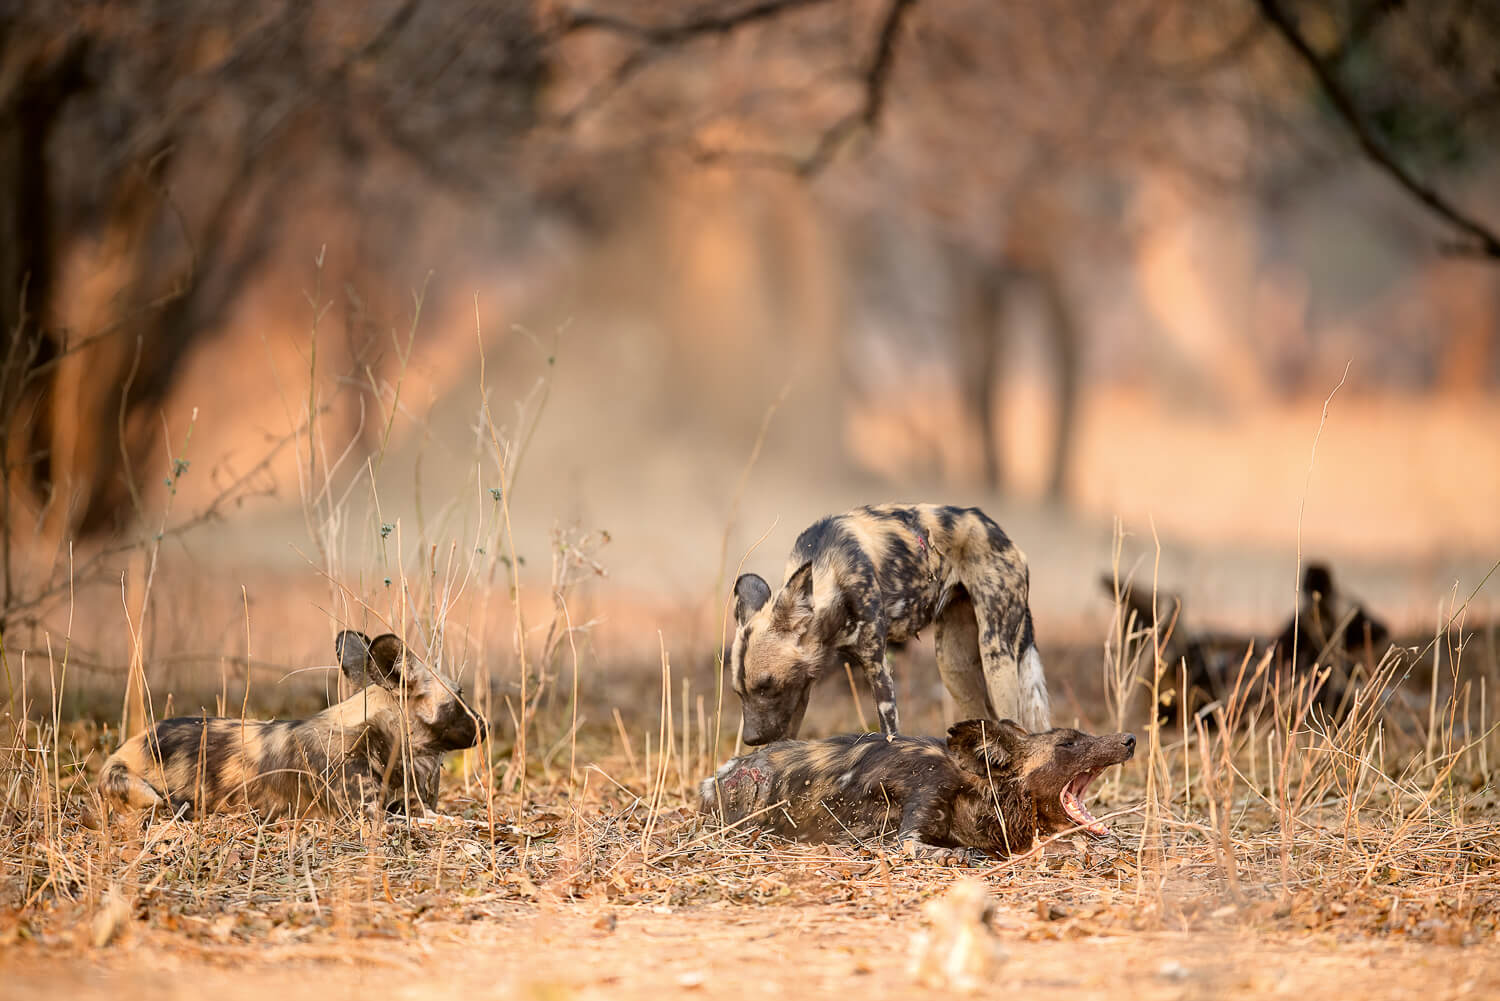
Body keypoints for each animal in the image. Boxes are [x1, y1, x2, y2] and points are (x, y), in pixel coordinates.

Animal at [98, 630, 486, 820]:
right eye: (459, 695)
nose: (485, 725)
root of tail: (127, 744)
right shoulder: (371, 816)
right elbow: (459, 823)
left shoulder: (400, 807)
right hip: (145, 793)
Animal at [730, 503, 1048, 745]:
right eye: (739, 692)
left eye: (766, 686)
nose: (750, 739)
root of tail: (1000, 533)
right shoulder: (801, 688)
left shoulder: (877, 668)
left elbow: (889, 733)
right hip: (954, 668)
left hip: (996, 656)